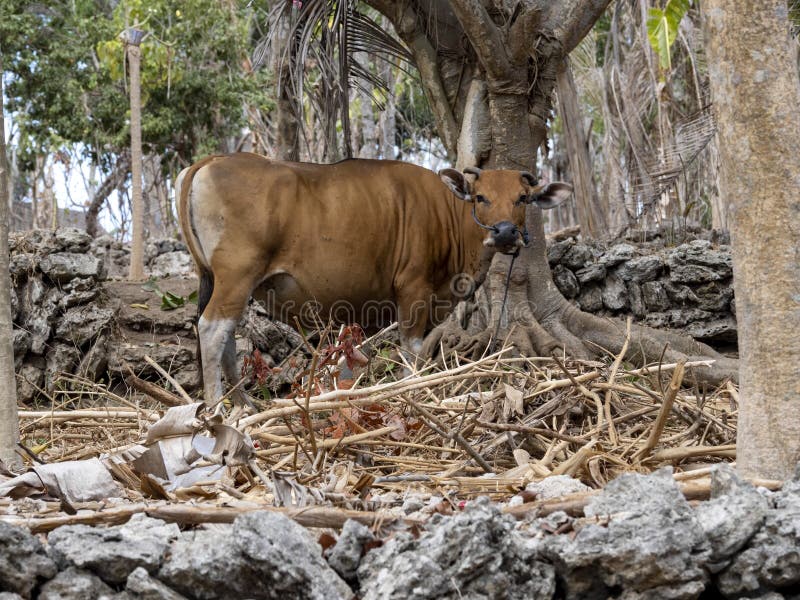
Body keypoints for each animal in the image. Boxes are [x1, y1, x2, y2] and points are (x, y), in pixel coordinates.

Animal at [177, 153, 572, 408]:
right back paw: (217, 406)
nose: (505, 232)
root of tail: (207, 162)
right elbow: (412, 350)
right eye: (481, 197)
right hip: (237, 274)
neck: (447, 215)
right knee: (212, 329)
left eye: (523, 198)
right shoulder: (413, 288)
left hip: (214, 278)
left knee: (225, 335)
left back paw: (243, 402)